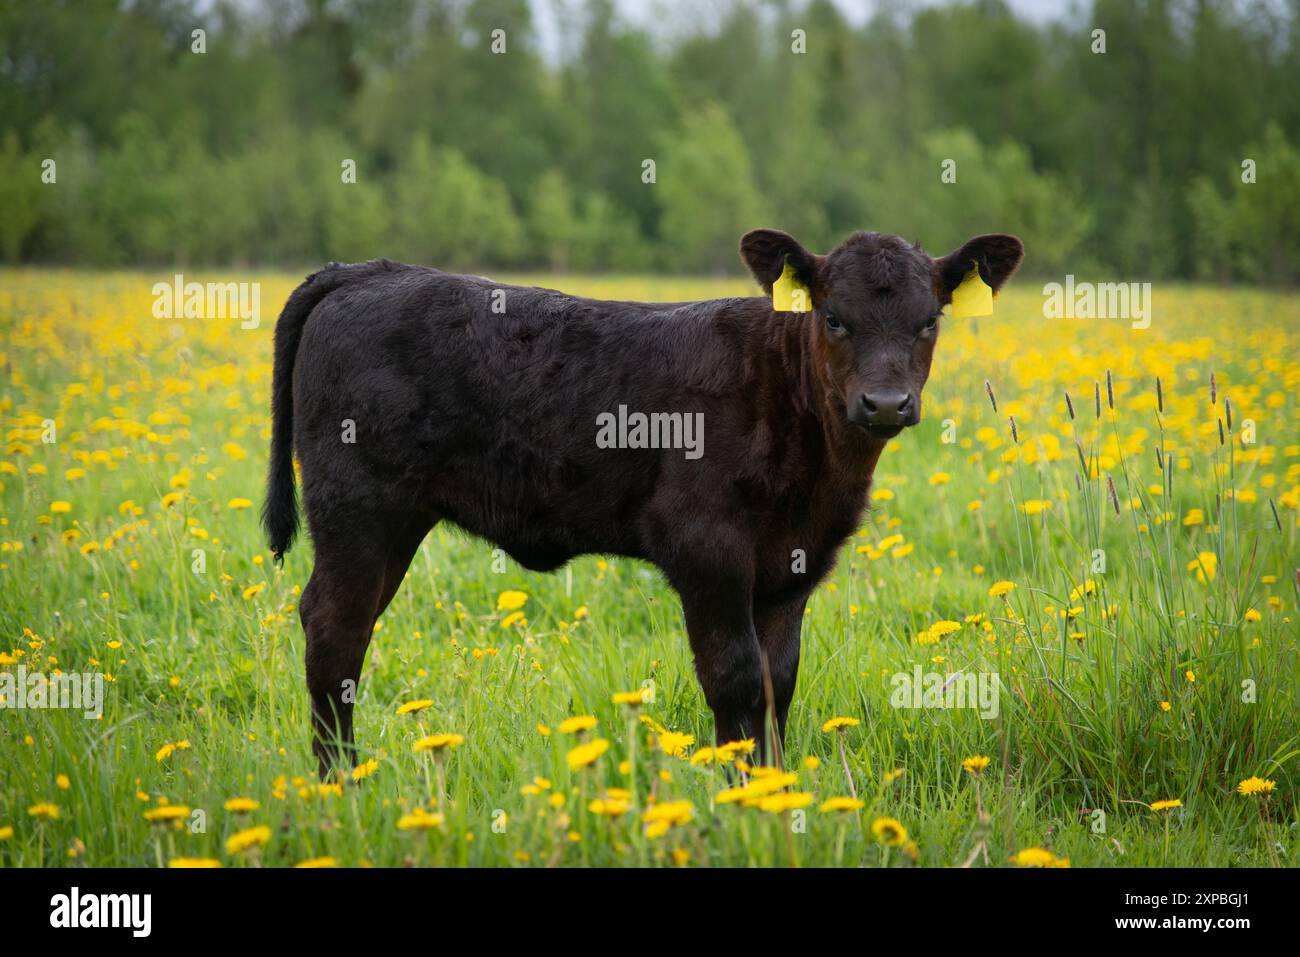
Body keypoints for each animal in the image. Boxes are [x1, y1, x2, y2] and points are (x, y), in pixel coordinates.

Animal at [262, 228, 1025, 777]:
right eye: (834, 318)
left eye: (928, 322)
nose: (886, 403)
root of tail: (369, 270)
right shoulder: (707, 548)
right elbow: (736, 677)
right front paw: (740, 793)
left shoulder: (793, 565)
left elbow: (778, 680)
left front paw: (778, 792)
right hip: (359, 509)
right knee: (335, 629)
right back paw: (339, 783)